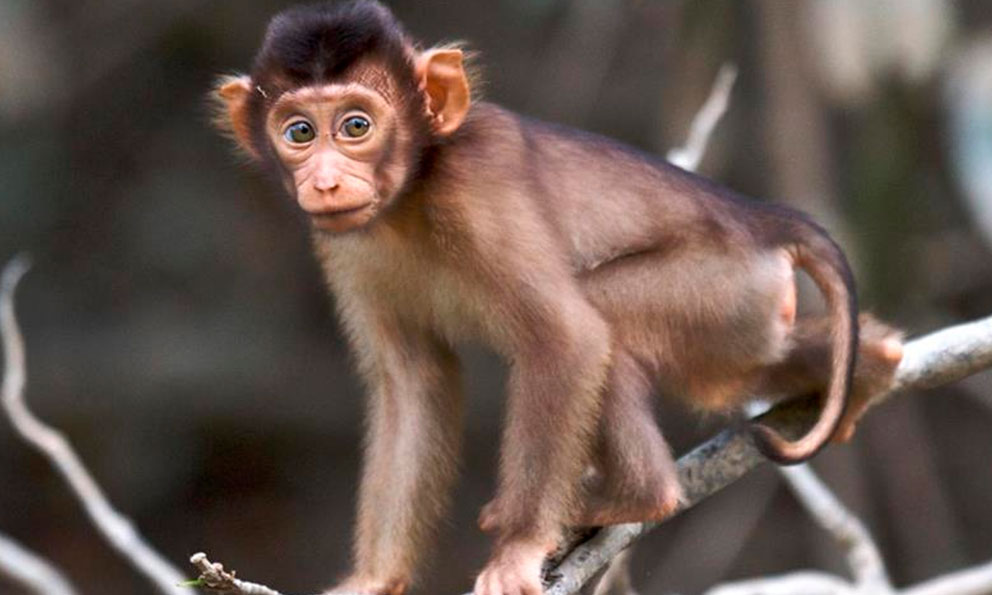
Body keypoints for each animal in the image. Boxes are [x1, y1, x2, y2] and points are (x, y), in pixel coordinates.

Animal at [212, 2, 903, 594]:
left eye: (356, 125)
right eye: (299, 132)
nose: (326, 180)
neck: (412, 193)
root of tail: (759, 219)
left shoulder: (476, 193)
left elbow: (566, 339)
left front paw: (519, 549)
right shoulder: (348, 248)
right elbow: (413, 384)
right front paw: (375, 580)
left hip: (720, 284)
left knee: (606, 316)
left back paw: (639, 495)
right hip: (745, 308)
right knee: (741, 367)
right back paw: (874, 364)